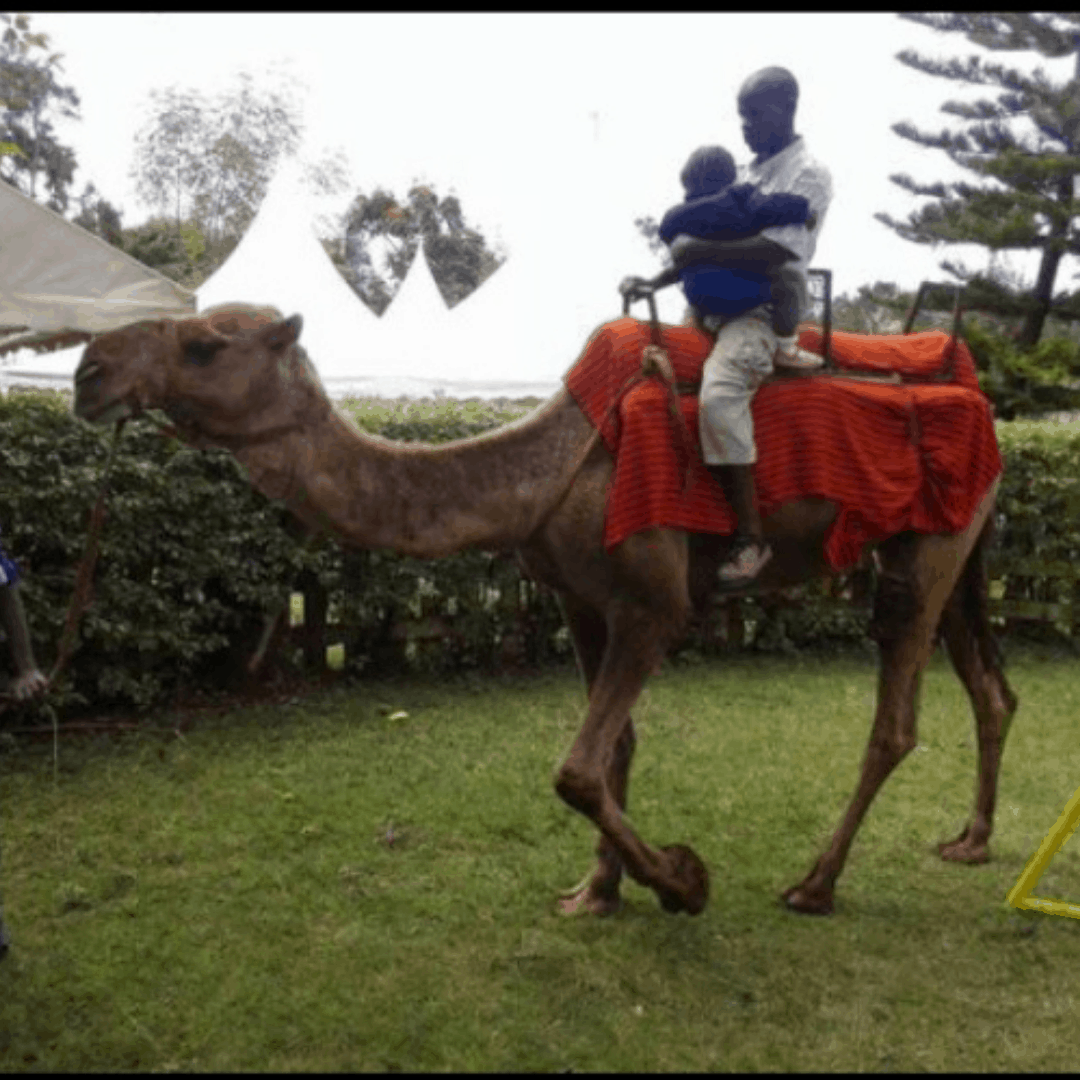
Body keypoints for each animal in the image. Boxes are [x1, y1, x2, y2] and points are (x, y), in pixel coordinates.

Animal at [71, 304, 1017, 917]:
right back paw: (971, 841)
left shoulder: (655, 604)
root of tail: (984, 405)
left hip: (926, 551)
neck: (541, 478)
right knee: (991, 690)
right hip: (952, 541)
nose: (87, 370)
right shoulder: (580, 599)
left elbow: (575, 769)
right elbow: (616, 748)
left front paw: (681, 882)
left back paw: (815, 885)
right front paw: (596, 893)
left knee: (896, 717)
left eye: (204, 344)